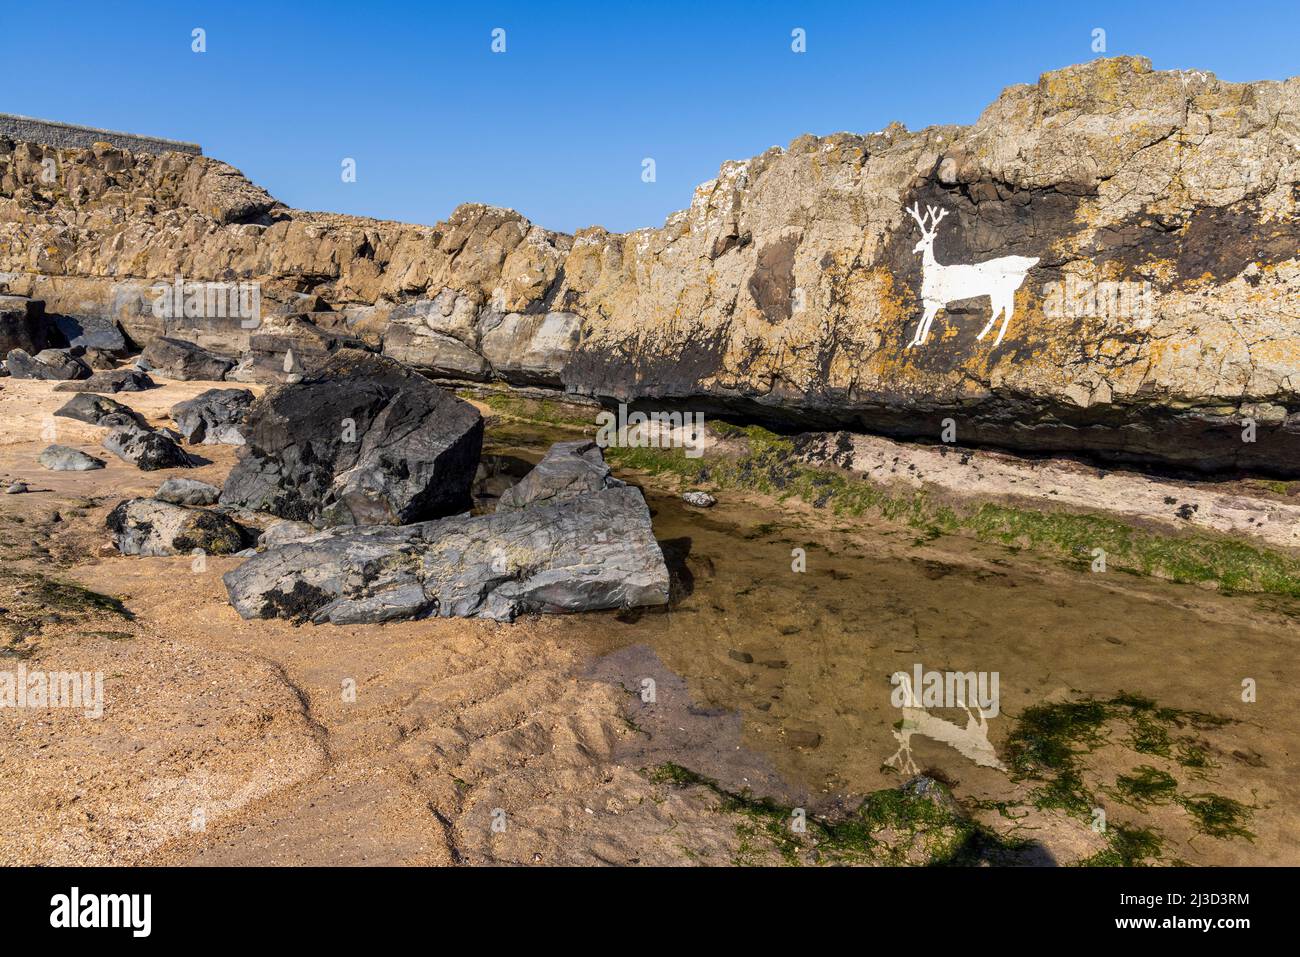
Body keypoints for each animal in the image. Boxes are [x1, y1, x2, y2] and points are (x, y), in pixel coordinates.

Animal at [904, 202, 1039, 348]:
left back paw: (991, 340)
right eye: (921, 238)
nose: (914, 249)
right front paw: (913, 341)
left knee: (1007, 311)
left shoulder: (936, 300)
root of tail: (1025, 263)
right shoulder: (929, 301)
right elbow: (923, 319)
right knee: (1001, 310)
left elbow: (927, 321)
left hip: (1004, 289)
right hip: (998, 292)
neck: (932, 272)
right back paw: (986, 338)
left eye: (928, 241)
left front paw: (920, 341)